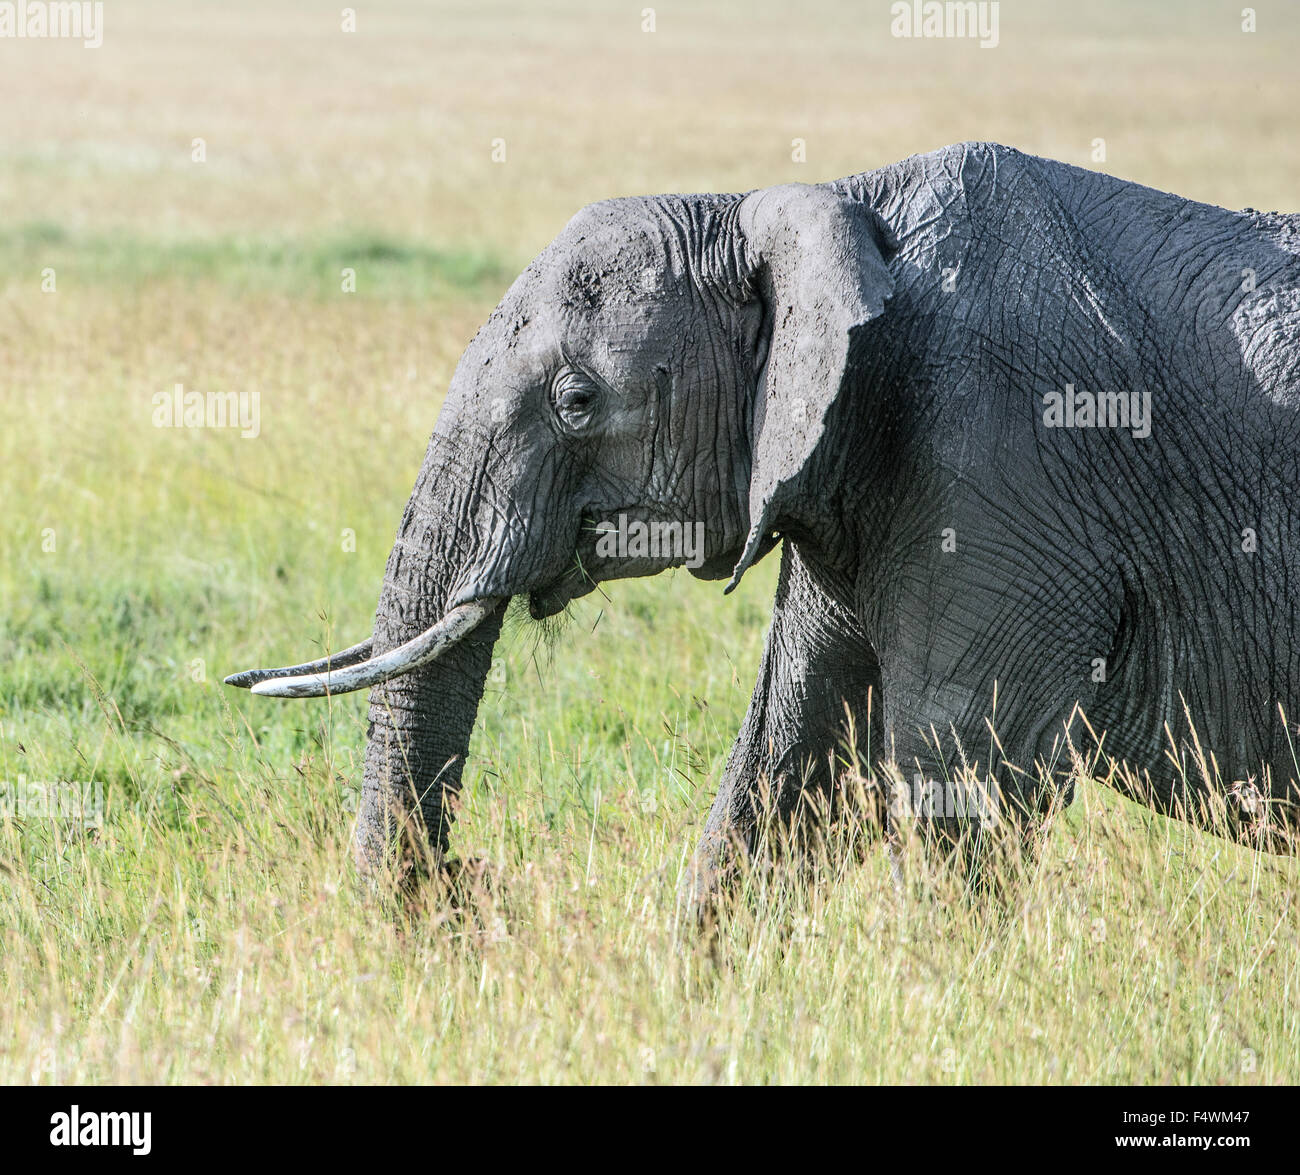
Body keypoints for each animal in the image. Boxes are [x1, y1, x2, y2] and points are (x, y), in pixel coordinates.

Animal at [226, 141, 1300, 906]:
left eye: (577, 401)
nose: (466, 897)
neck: (805, 207)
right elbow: (790, 762)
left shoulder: (1005, 461)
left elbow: (954, 770)